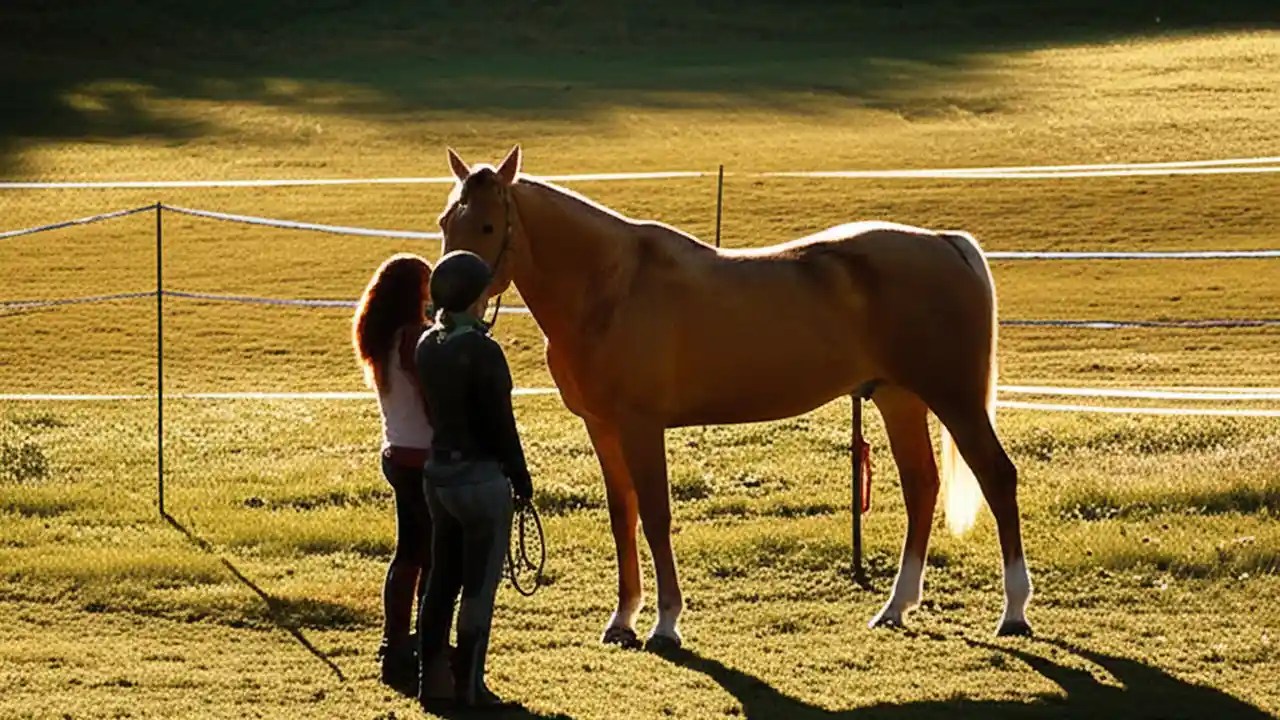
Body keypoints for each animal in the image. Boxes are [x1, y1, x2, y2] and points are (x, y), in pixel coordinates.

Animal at [433, 145, 1033, 650]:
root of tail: (945, 243)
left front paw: (667, 623)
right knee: (921, 488)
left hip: (954, 401)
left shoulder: (641, 427)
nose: (447, 304)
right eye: (445, 223)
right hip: (899, 399)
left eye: (488, 225)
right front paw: (622, 619)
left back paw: (1014, 613)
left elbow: (656, 515)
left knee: (997, 478)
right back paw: (895, 607)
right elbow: (622, 515)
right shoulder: (602, 427)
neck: (611, 286)